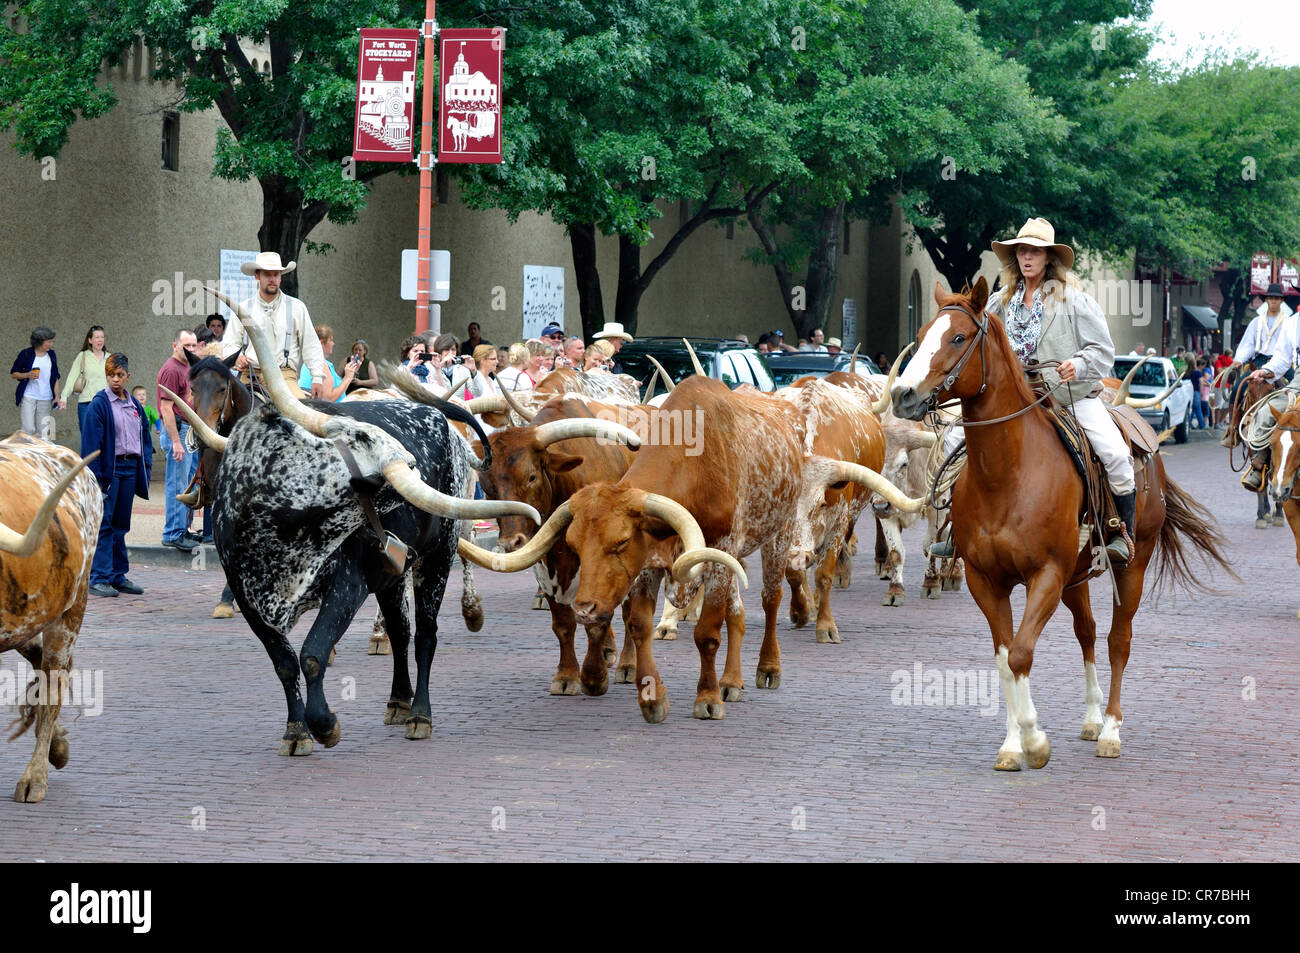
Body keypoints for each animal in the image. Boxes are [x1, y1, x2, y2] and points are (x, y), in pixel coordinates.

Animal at [174, 290, 539, 753]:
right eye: (191, 387)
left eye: (222, 387)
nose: (416, 463)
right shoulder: (249, 595)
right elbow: (285, 662)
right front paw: (295, 731)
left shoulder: (349, 580)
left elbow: (312, 653)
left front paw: (324, 723)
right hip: (392, 571)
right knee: (400, 631)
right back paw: (398, 701)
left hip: (436, 557)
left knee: (426, 634)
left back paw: (420, 713)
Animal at [456, 376, 921, 723]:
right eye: (573, 543)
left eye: (620, 542)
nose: (586, 607)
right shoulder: (646, 563)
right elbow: (636, 624)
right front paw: (651, 696)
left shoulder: (719, 549)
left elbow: (707, 633)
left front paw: (708, 698)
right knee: (737, 613)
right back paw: (732, 681)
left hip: (778, 536)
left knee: (771, 599)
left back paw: (766, 668)